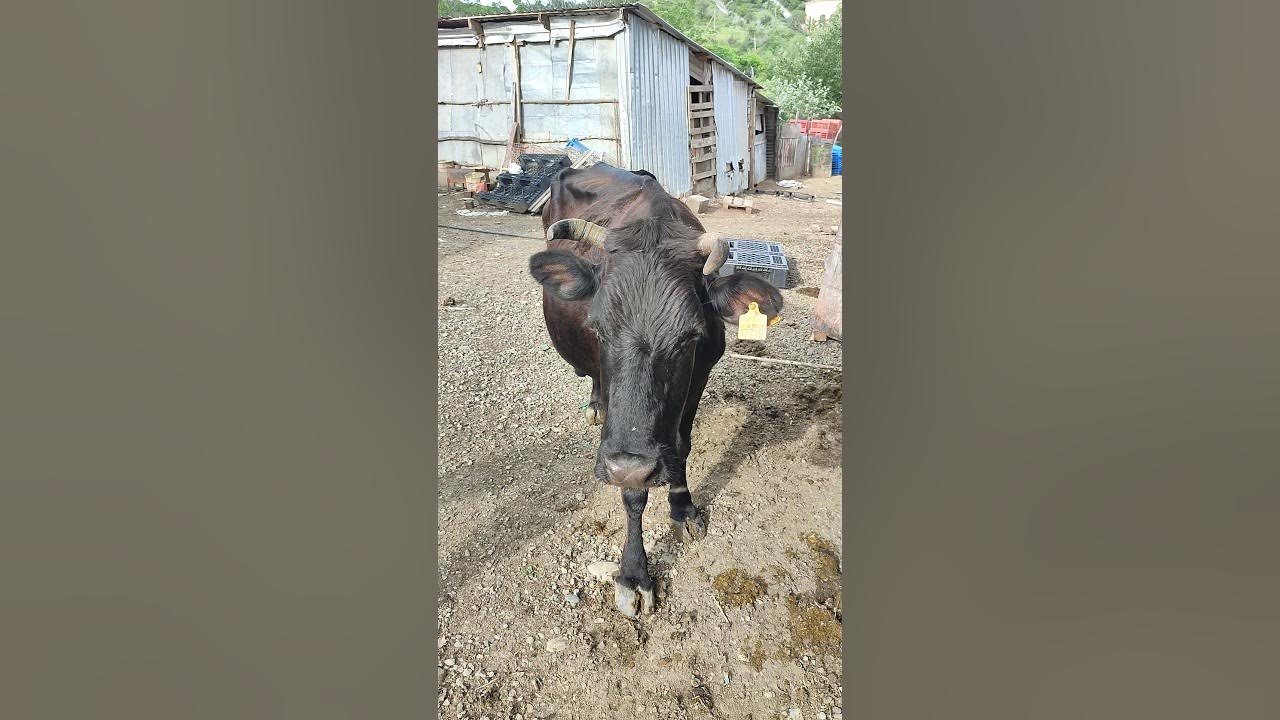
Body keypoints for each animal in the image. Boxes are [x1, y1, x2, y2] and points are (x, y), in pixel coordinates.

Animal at [528, 164, 783, 617]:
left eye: (688, 338)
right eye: (598, 328)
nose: (630, 464)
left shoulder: (699, 376)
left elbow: (681, 445)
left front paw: (682, 506)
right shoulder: (624, 447)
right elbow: (633, 492)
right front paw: (634, 573)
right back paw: (595, 403)